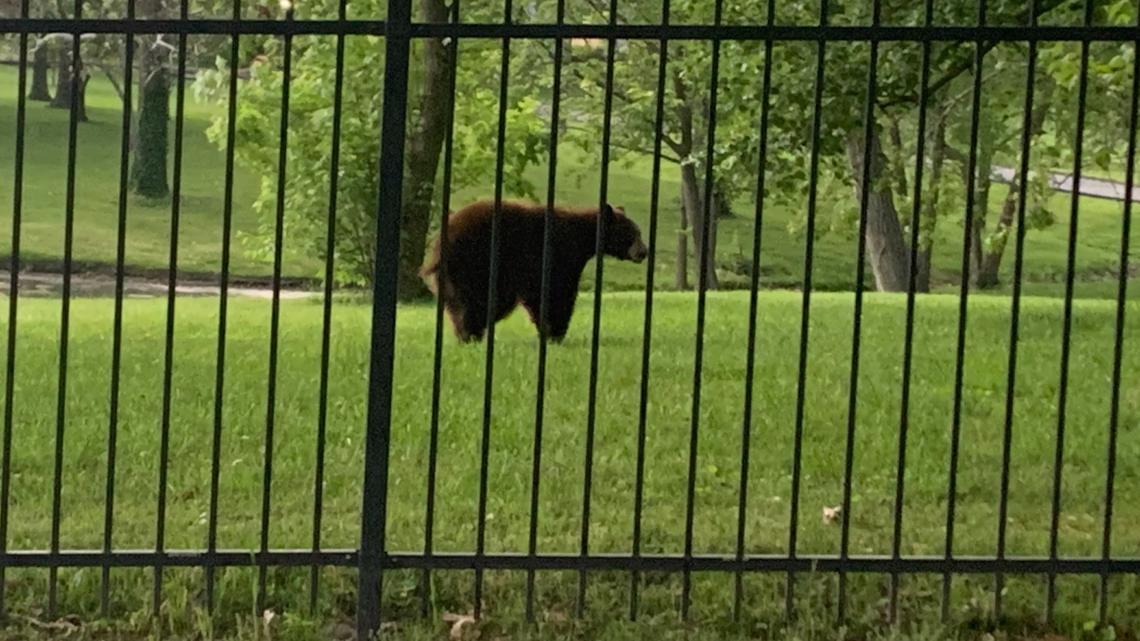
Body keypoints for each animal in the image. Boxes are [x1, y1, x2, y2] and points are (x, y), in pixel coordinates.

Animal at [420, 199, 648, 343]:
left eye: (638, 232)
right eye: (632, 233)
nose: (644, 252)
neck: (582, 238)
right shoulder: (555, 255)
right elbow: (556, 293)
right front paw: (554, 332)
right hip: (472, 265)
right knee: (472, 303)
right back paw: (470, 334)